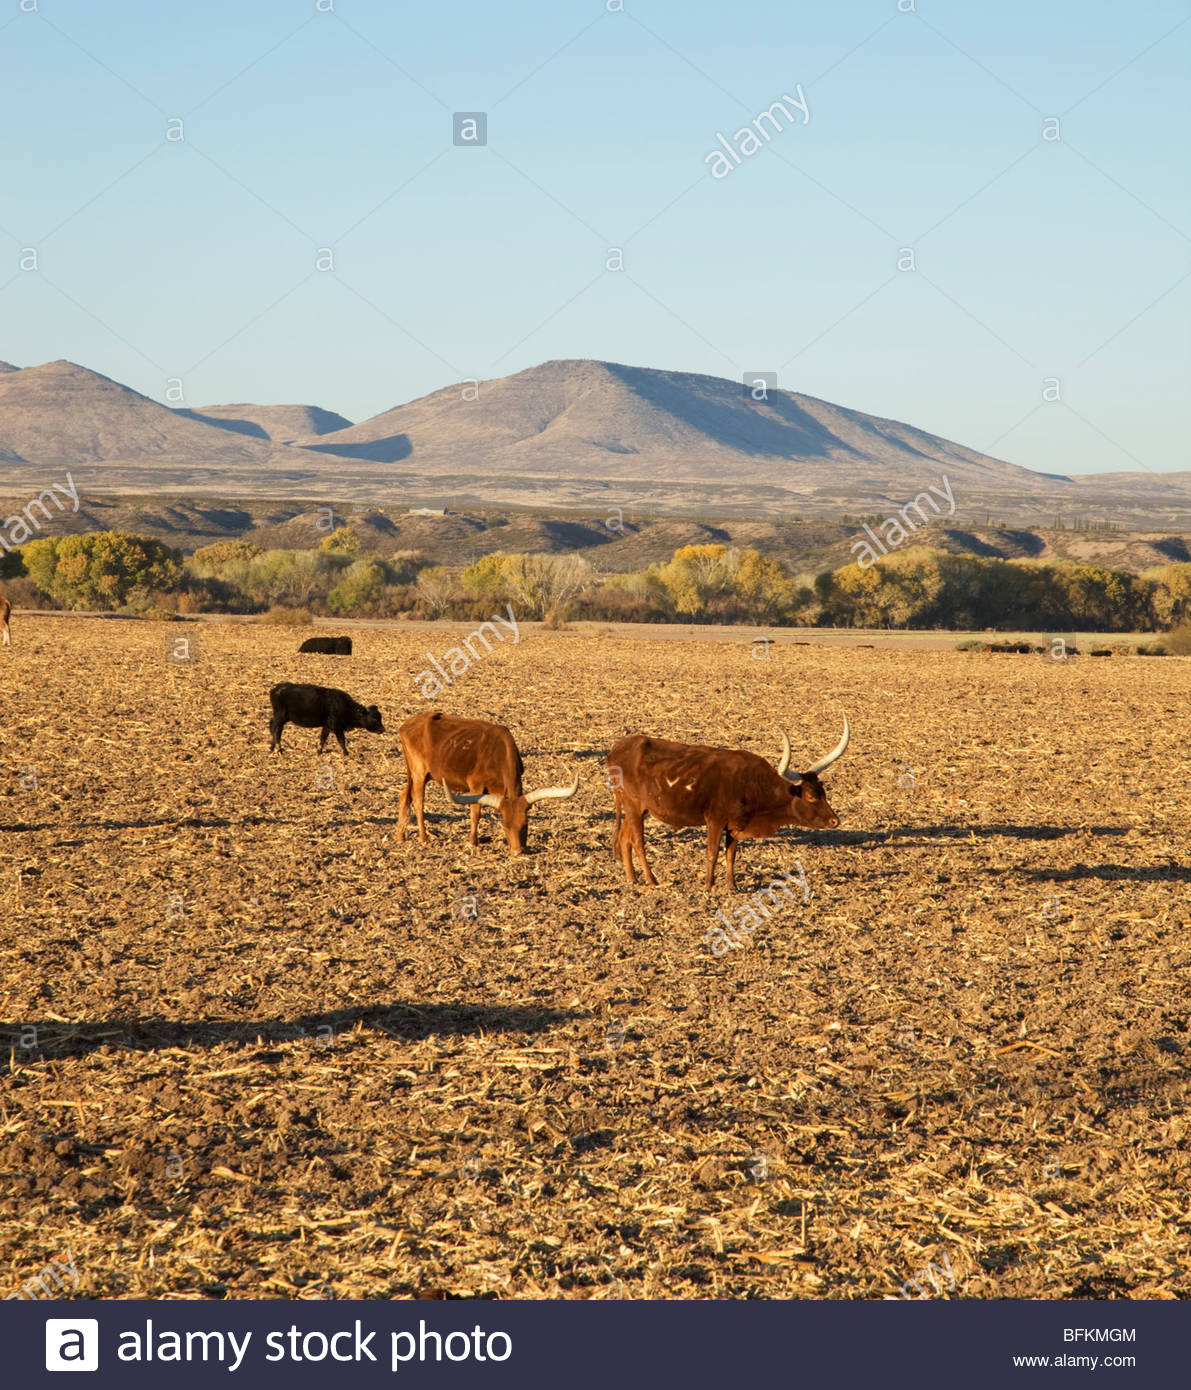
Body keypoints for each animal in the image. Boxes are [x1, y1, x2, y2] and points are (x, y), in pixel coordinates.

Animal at [396, 712, 578, 855]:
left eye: (525, 825)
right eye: (505, 826)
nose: (517, 852)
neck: (498, 753)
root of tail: (407, 724)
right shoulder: (475, 785)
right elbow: (475, 813)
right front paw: (472, 842)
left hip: (415, 774)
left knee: (405, 795)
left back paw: (400, 836)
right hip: (419, 773)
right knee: (418, 801)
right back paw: (423, 838)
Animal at [607, 717, 849, 891]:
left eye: (824, 792)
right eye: (810, 796)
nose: (835, 820)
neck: (752, 783)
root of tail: (617, 748)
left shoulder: (735, 825)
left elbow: (731, 855)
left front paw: (732, 887)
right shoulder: (715, 820)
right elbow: (712, 852)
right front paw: (708, 886)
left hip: (637, 809)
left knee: (625, 838)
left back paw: (632, 879)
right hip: (634, 807)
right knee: (638, 841)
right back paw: (651, 880)